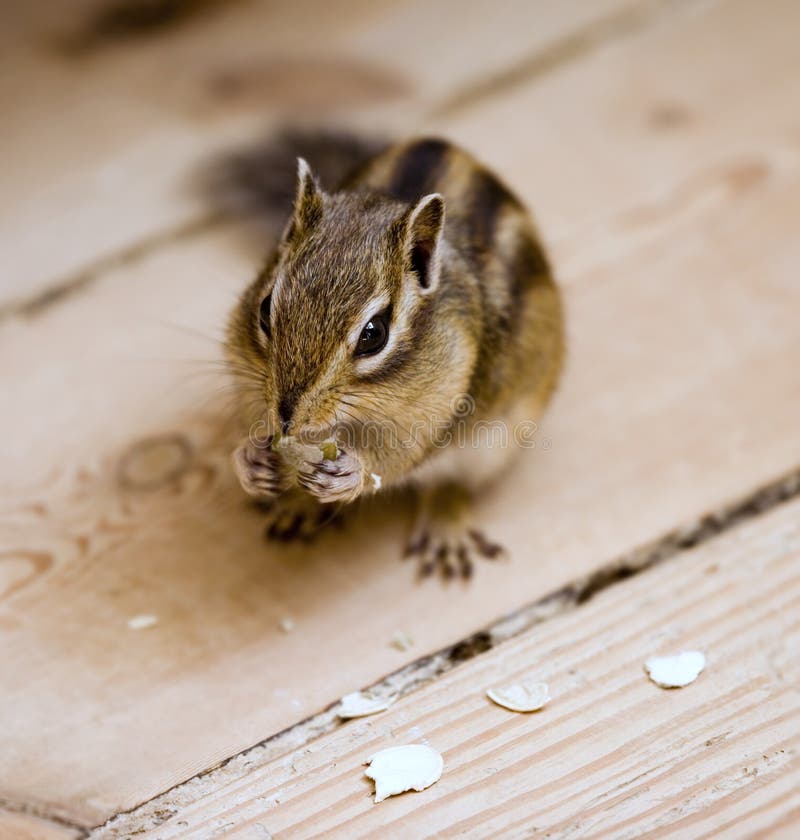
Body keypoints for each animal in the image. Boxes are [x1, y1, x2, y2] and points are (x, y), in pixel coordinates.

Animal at [227, 136, 564, 578]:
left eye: (374, 334)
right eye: (265, 309)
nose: (285, 419)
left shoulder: (442, 404)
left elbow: (402, 457)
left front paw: (353, 472)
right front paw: (250, 459)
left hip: (497, 443)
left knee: (451, 481)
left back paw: (444, 527)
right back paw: (299, 504)